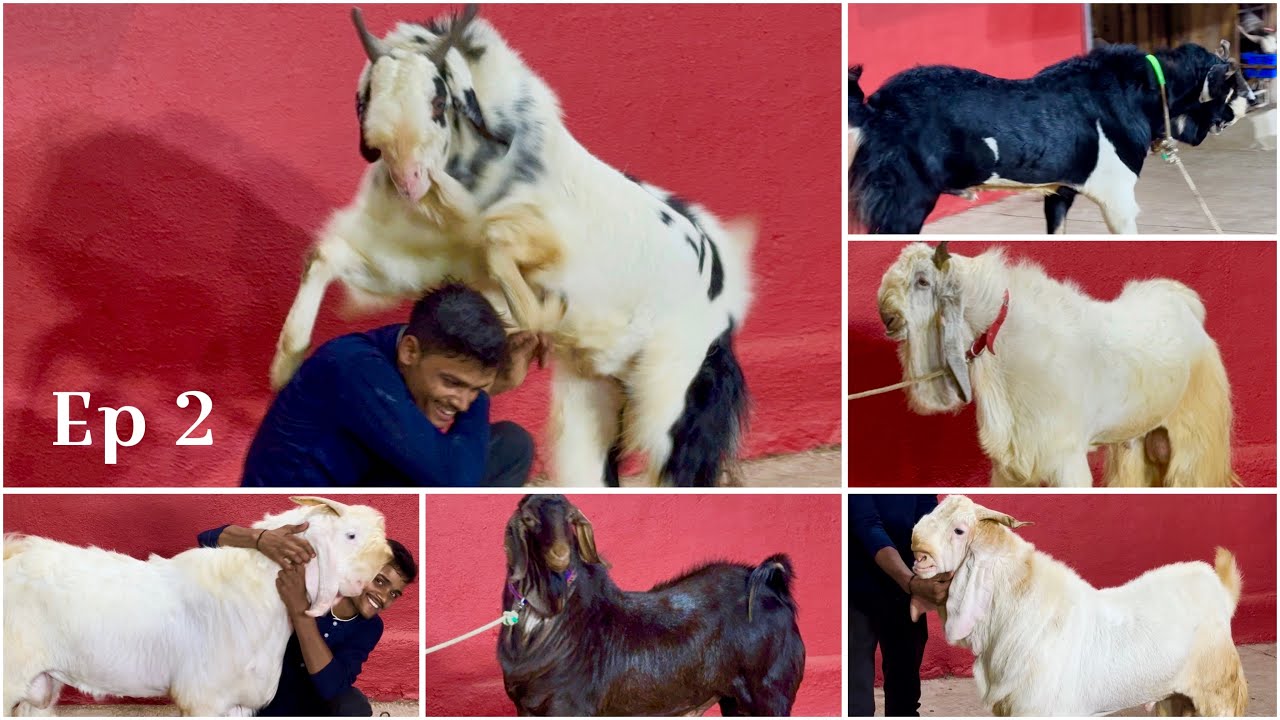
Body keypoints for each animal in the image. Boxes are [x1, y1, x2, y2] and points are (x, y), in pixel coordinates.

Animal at [271, 6, 755, 487]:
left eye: (438, 100)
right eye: (369, 97)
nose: (408, 180)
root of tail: (724, 304)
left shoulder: (539, 245)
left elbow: (497, 246)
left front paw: (540, 316)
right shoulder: (406, 257)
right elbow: (326, 256)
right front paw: (283, 369)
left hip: (668, 403)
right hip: (594, 395)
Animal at [497, 494, 805, 716]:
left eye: (571, 519)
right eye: (528, 519)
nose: (559, 555)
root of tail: (771, 586)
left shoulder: (568, 705)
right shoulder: (526, 707)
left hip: (770, 692)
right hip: (735, 701)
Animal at [849, 41, 1255, 234]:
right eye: (1232, 84)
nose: (1254, 99)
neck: (1143, 92)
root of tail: (876, 106)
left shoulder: (1059, 194)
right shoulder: (1119, 202)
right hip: (905, 205)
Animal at [876, 241, 1238, 488]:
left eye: (922, 281)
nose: (887, 317)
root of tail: (1185, 307)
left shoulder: (1066, 459)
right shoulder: (1011, 466)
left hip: (1196, 436)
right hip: (1136, 443)